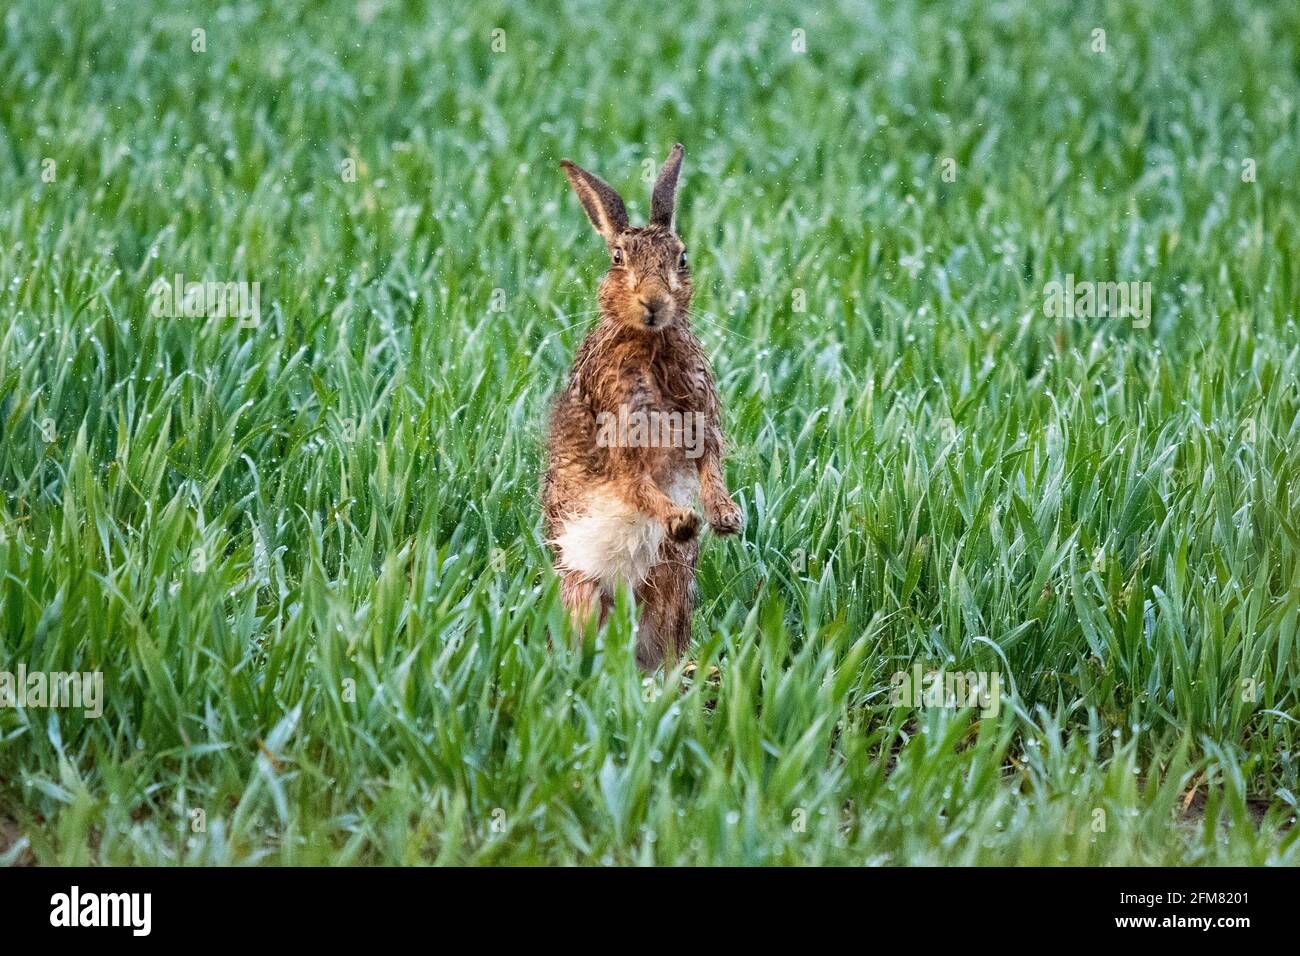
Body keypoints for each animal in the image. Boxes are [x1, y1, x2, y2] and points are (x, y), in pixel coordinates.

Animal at [542, 143, 743, 669]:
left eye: (682, 257)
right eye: (617, 258)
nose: (653, 302)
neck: (650, 344)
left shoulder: (698, 420)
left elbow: (710, 465)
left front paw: (725, 517)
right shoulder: (620, 439)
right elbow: (636, 487)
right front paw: (681, 520)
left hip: (671, 588)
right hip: (582, 591)